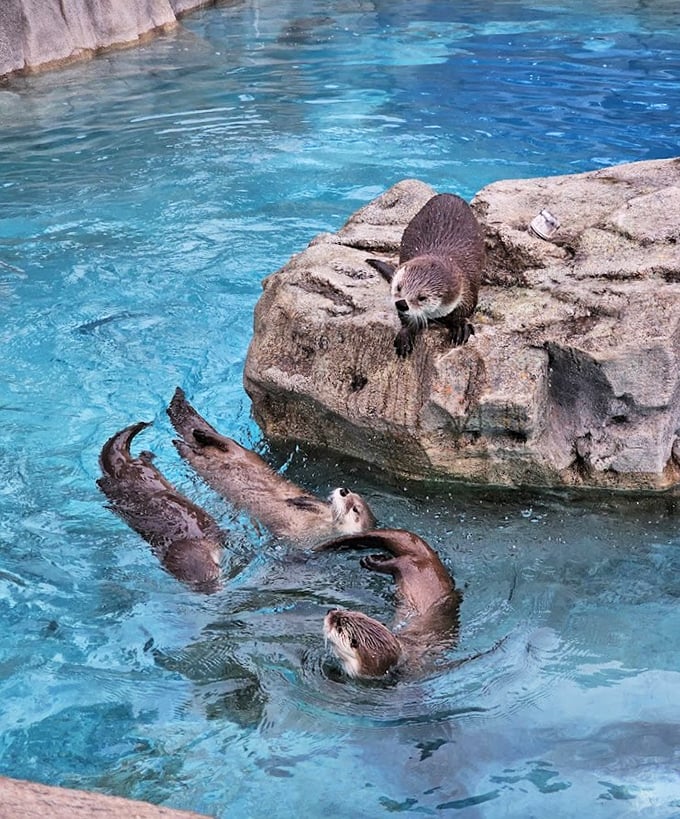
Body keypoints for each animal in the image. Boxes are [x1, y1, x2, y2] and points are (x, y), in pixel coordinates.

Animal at [97, 421, 225, 592]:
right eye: (193, 586)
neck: (190, 539)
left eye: (216, 573)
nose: (211, 590)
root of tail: (122, 466)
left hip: (140, 467)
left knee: (141, 458)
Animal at [166, 387, 376, 546]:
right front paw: (298, 501)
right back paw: (200, 433)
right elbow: (308, 501)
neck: (321, 525)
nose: (344, 490)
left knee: (191, 450)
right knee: (222, 442)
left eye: (355, 509)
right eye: (352, 494)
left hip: (204, 456)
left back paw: (184, 442)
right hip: (241, 451)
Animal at [318, 529, 462, 678]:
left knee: (395, 563)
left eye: (338, 625)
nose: (330, 611)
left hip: (409, 565)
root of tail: (426, 557)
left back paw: (371, 561)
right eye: (351, 611)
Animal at [367, 193, 485, 358]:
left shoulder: (469, 290)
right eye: (398, 287)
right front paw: (405, 336)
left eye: (422, 297)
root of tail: (449, 195)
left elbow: (465, 311)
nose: (401, 303)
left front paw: (460, 325)